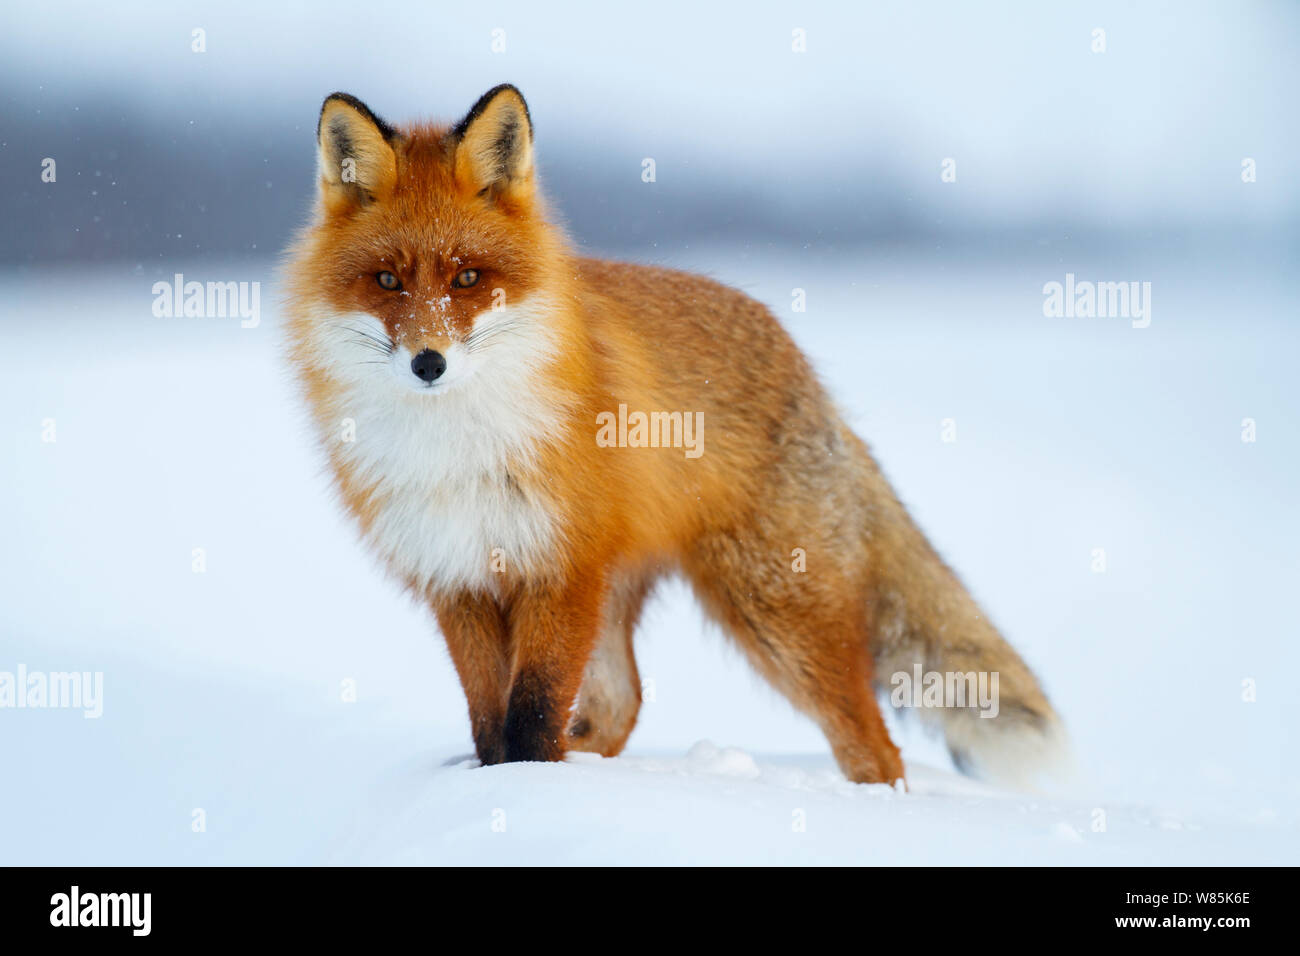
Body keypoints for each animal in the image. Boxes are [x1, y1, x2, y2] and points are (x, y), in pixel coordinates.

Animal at [283, 84, 1064, 787]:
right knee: (622, 706)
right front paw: (493, 790)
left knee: (872, 743)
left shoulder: (559, 568)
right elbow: (488, 720)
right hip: (630, 597)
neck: (456, 449)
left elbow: (530, 716)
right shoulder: (459, 576)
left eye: (468, 277)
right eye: (387, 280)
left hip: (776, 615)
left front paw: (526, 795)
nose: (429, 363)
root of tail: (809, 371)